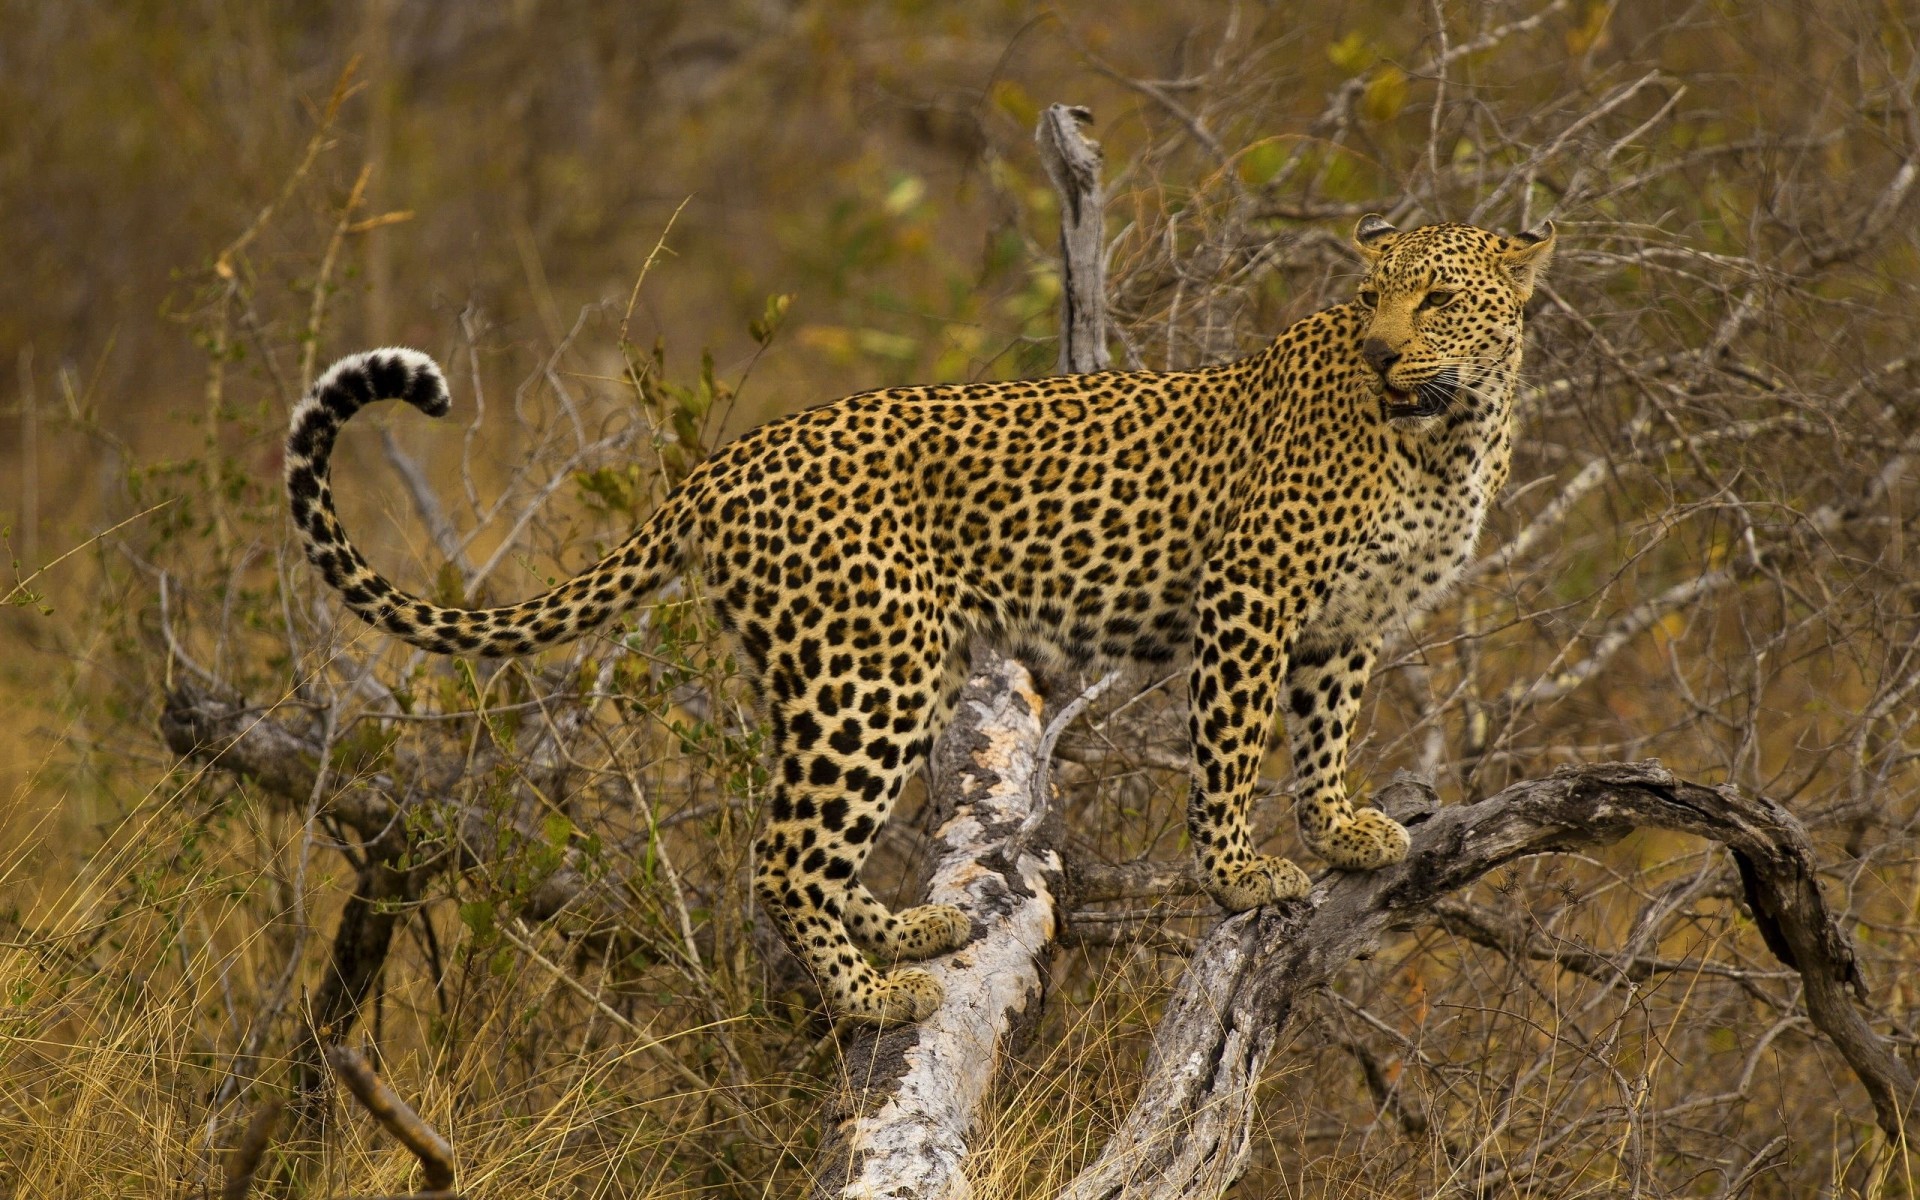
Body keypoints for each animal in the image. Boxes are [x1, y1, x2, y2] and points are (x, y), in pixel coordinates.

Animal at [285, 215, 1555, 1025]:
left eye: (1436, 298)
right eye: (1371, 299)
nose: (1384, 350)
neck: (1450, 430)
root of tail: (721, 466)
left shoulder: (1345, 621)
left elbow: (1325, 731)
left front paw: (1342, 828)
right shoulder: (1253, 595)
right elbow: (1235, 750)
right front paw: (1244, 875)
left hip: (852, 670)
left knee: (811, 839)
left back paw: (902, 938)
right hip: (874, 674)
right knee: (782, 855)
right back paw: (872, 996)